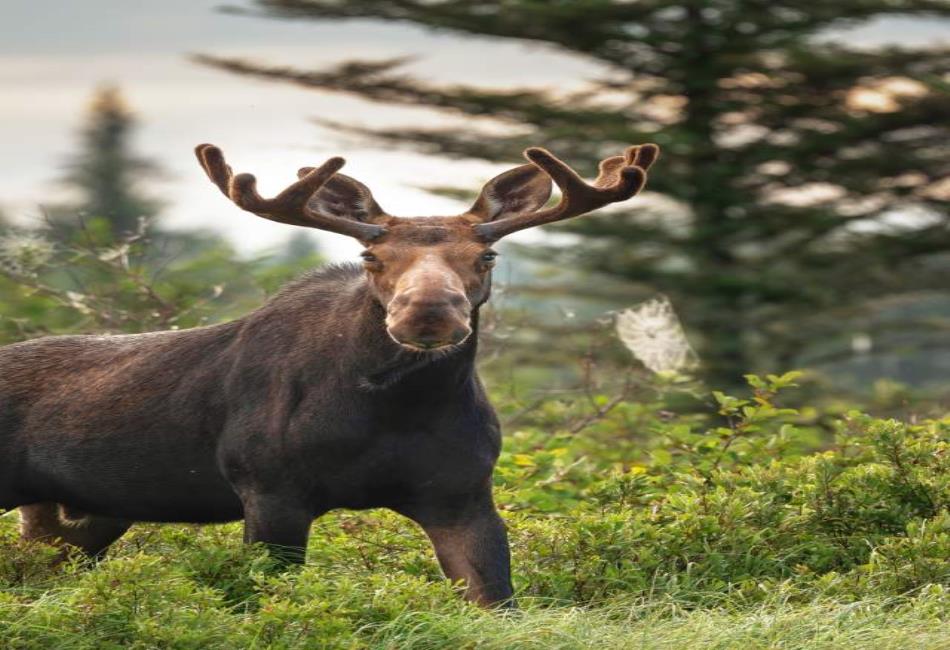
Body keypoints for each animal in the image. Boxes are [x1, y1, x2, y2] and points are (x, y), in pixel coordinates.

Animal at [0, 141, 658, 607]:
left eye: (487, 255)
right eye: (371, 256)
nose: (428, 311)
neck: (393, 412)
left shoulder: (462, 494)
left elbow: (497, 603)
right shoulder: (269, 488)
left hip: (80, 514)